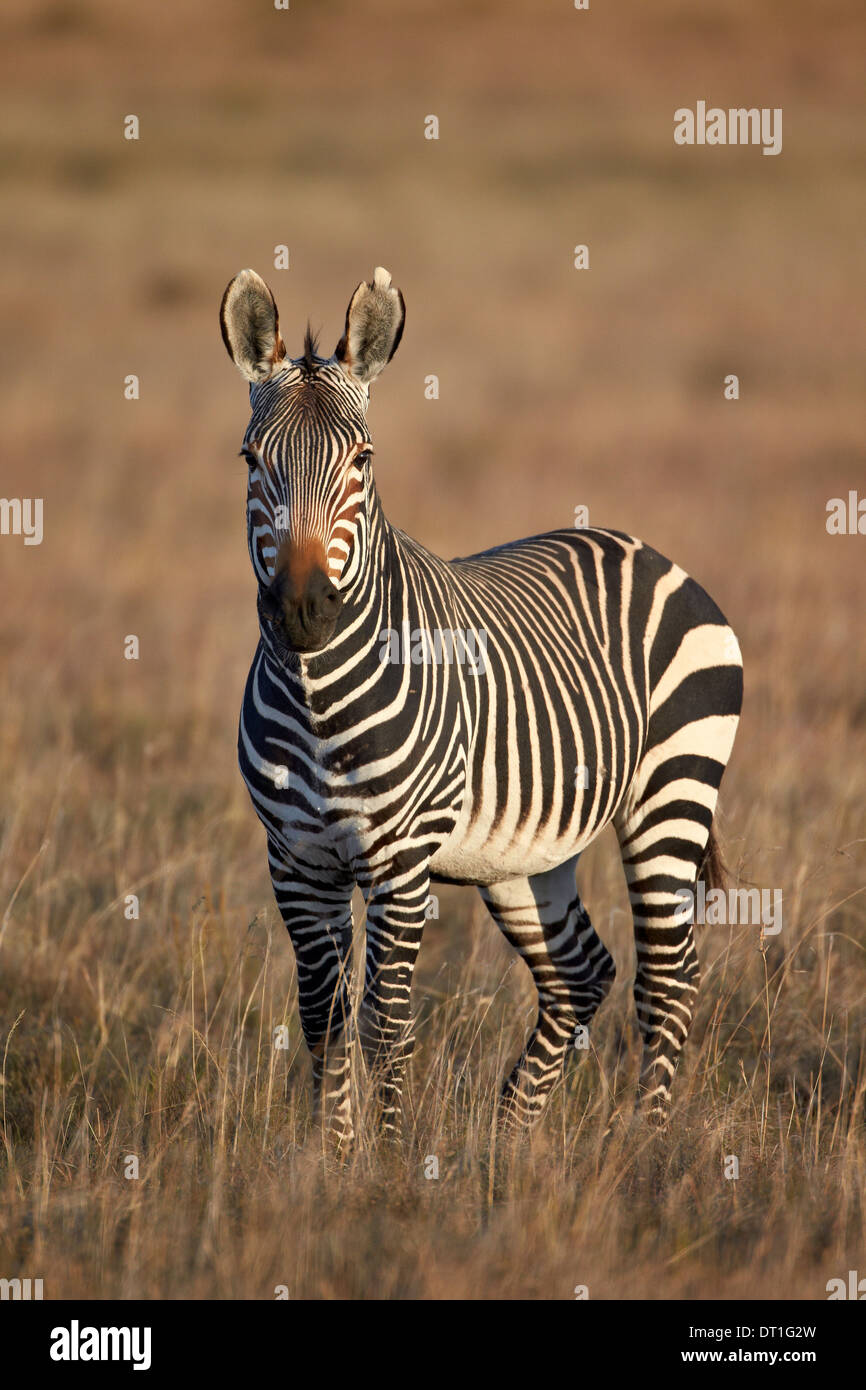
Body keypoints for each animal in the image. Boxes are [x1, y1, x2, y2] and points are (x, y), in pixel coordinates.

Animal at [219, 265, 743, 1147]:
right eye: (252, 458)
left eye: (363, 459)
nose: (302, 611)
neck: (320, 700)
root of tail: (643, 548)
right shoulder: (295, 860)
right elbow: (324, 1020)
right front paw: (331, 1161)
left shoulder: (399, 862)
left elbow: (386, 1025)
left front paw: (390, 1167)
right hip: (527, 855)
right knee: (580, 974)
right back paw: (510, 1141)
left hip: (672, 790)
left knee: (667, 981)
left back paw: (644, 1150)